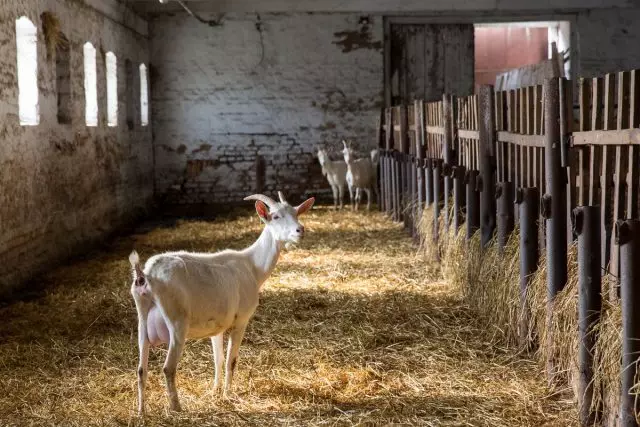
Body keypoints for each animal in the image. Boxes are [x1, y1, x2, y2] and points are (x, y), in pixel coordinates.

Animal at [130, 193, 316, 414]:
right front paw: (228, 394)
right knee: (168, 368)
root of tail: (146, 276)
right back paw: (177, 408)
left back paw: (141, 411)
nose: (300, 230)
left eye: (296, 213)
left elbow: (218, 360)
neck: (252, 266)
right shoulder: (241, 320)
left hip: (142, 321)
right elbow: (231, 361)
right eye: (276, 216)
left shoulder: (217, 326)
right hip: (177, 322)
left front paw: (215, 391)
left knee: (141, 369)